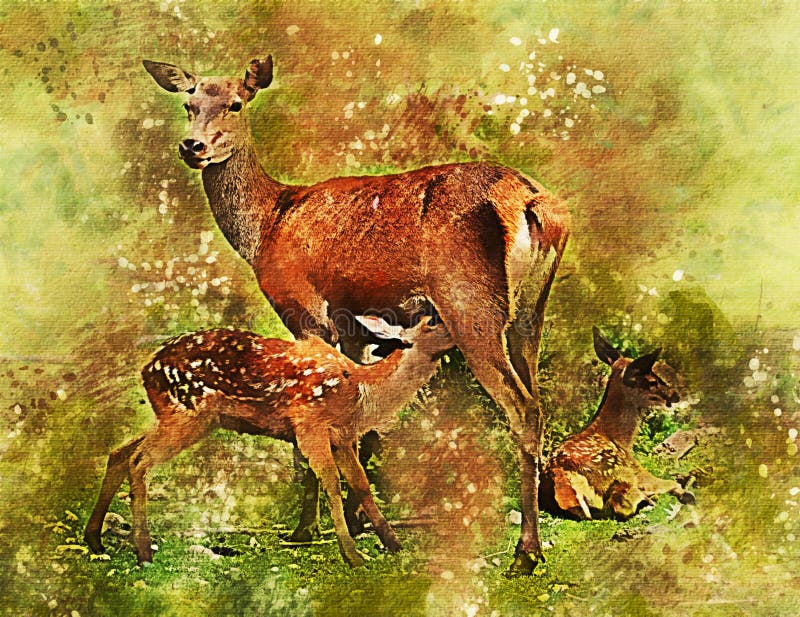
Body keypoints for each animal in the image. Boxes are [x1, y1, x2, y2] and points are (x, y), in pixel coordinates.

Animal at [84, 315, 453, 568]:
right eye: (433, 321)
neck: (362, 392)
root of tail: (146, 370)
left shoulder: (343, 437)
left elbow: (361, 485)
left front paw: (393, 543)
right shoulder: (309, 426)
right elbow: (332, 484)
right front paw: (353, 555)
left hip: (175, 415)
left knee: (120, 452)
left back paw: (95, 540)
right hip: (187, 412)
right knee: (139, 461)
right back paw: (143, 550)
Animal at [141, 55, 569, 574]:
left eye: (236, 103)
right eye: (189, 103)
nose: (193, 146)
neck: (268, 227)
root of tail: (535, 203)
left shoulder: (305, 309)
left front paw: (306, 529)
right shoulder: (354, 325)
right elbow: (363, 423)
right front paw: (361, 522)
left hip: (472, 305)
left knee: (522, 407)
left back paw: (525, 552)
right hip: (531, 312)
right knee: (538, 401)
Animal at [539, 327, 696, 520]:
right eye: (652, 381)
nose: (675, 395)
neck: (621, 440)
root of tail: (561, 480)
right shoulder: (636, 470)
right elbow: (671, 483)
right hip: (617, 469)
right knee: (622, 504)